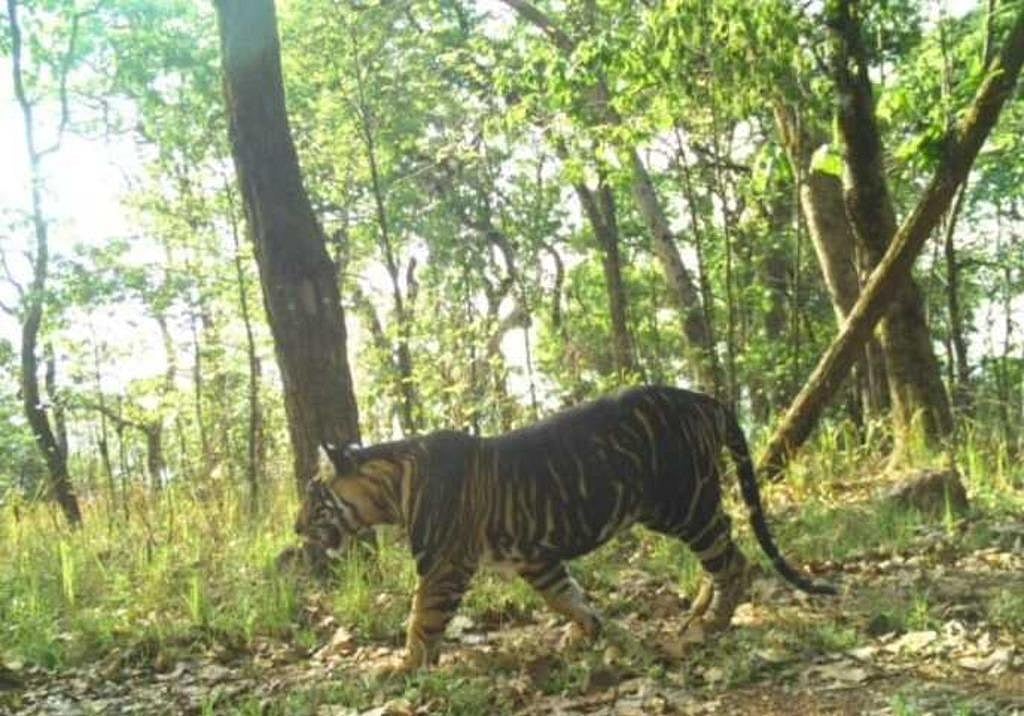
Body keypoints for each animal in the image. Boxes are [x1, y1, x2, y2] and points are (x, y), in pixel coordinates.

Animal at [294, 385, 835, 671]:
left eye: (315, 501)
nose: (296, 529)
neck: (392, 489)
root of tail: (702, 397)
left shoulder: (443, 565)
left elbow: (421, 620)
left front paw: (402, 669)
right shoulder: (536, 558)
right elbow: (565, 595)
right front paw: (592, 632)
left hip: (684, 505)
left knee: (735, 561)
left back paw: (709, 625)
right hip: (686, 508)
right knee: (723, 555)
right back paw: (698, 612)